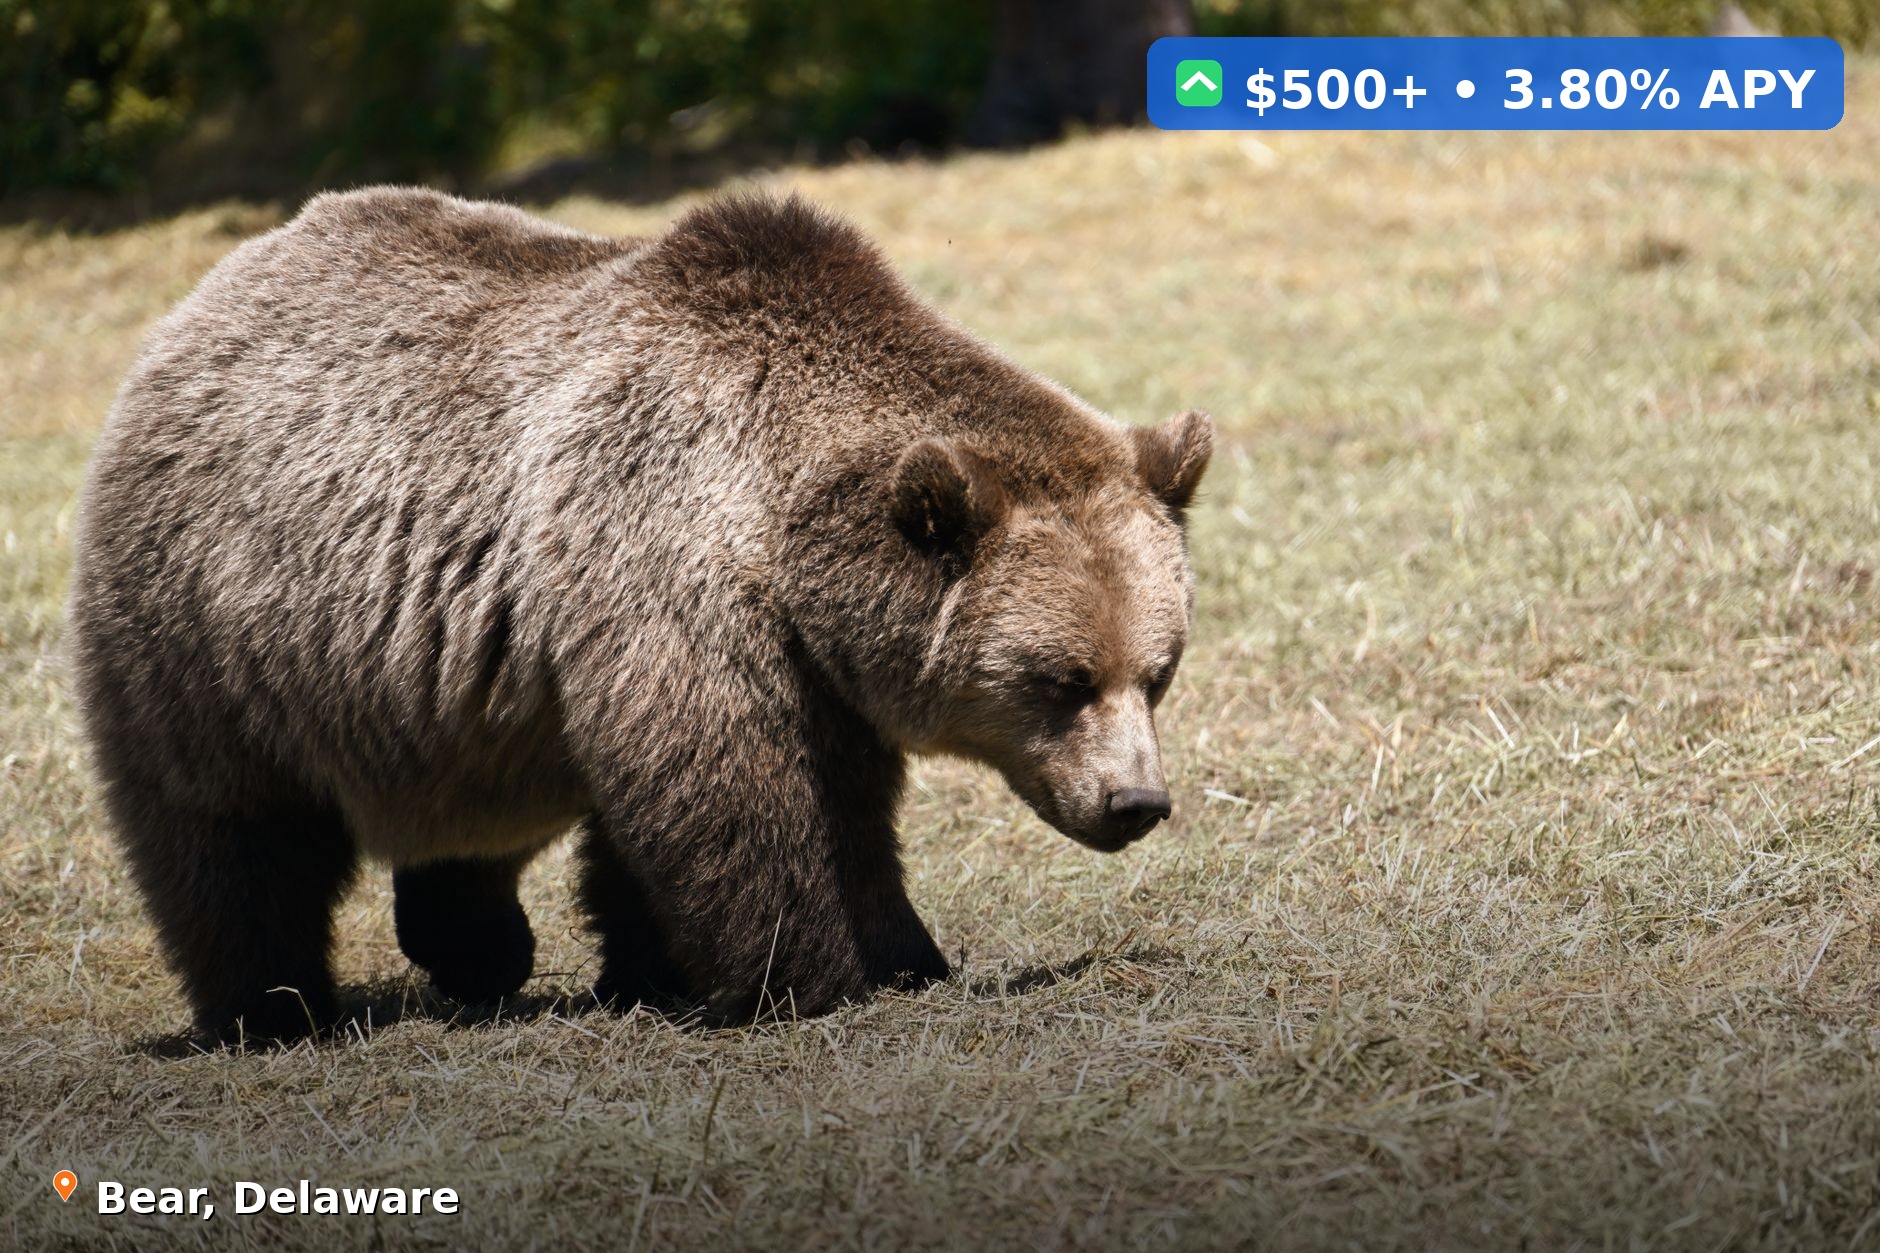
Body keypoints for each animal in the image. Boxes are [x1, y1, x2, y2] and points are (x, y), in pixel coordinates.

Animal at [67, 187, 1212, 1042]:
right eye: (1061, 679)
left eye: (1156, 671)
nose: (1134, 802)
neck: (782, 524)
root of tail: (209, 294)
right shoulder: (669, 560)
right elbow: (740, 792)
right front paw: (815, 976)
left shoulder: (810, 657)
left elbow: (819, 804)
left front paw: (889, 955)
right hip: (211, 625)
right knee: (229, 828)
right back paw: (271, 1004)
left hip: (441, 694)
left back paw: (475, 946)